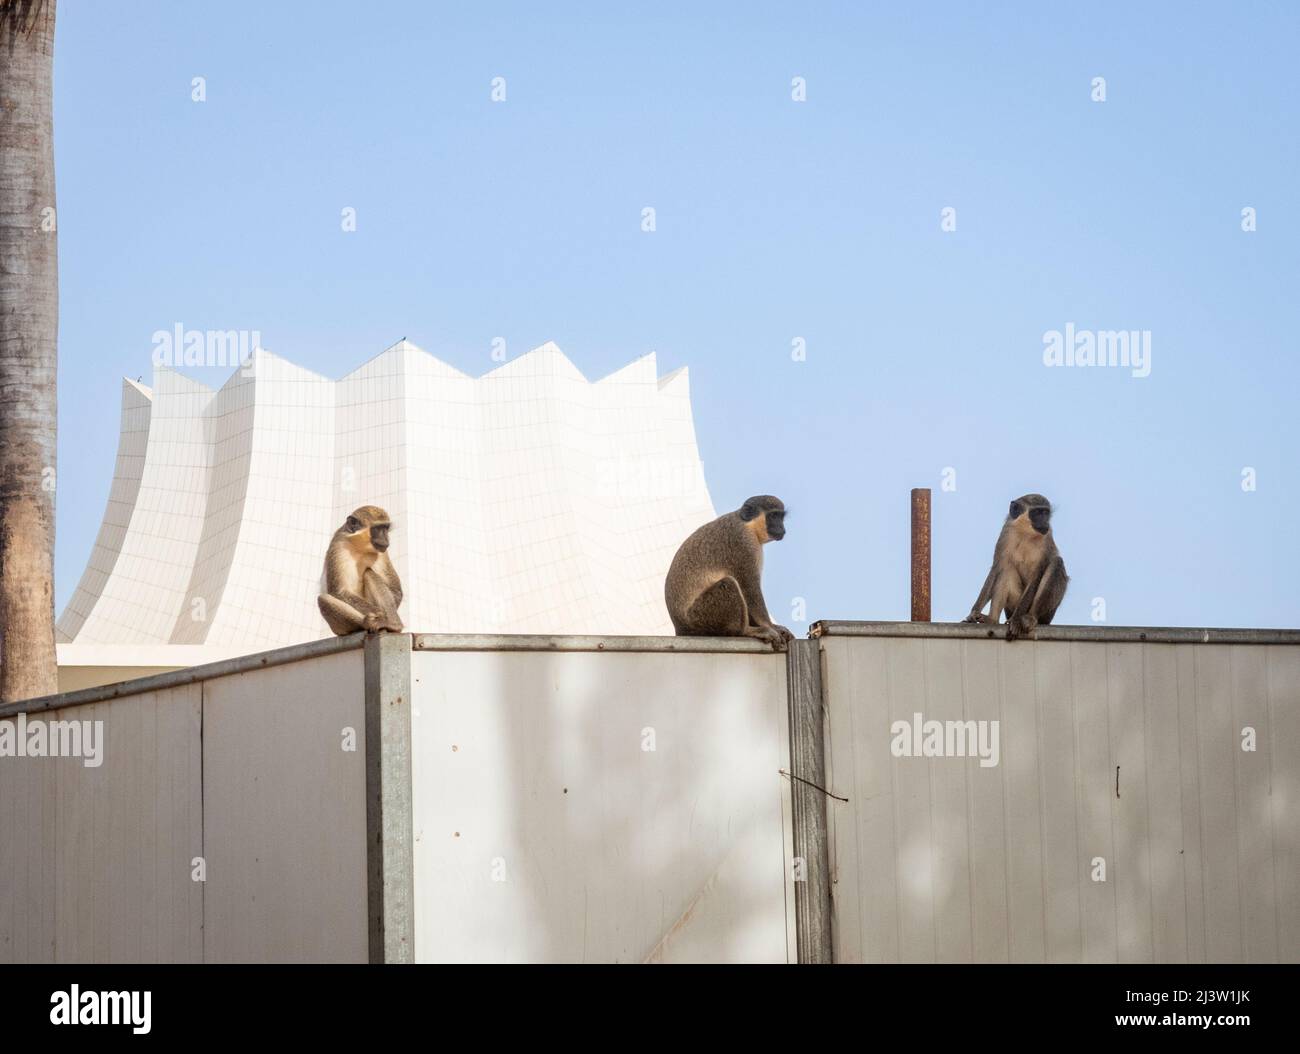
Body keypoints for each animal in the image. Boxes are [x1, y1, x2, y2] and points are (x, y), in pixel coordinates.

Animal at [317, 505, 404, 635]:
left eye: (386, 528)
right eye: (377, 528)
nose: (386, 538)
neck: (360, 547)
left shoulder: (382, 551)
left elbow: (396, 590)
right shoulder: (338, 545)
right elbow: (339, 592)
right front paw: (380, 615)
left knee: (369, 573)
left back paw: (394, 625)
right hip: (338, 628)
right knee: (323, 599)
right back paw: (366, 623)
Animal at [664, 495, 795, 649]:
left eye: (781, 517)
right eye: (773, 516)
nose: (782, 529)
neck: (747, 524)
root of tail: (681, 628)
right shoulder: (743, 543)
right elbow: (749, 588)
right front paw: (770, 626)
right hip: (700, 618)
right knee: (729, 583)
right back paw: (745, 631)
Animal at [962, 493, 1068, 641]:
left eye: (1046, 513)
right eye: (1037, 512)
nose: (1045, 523)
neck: (1026, 533)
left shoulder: (1046, 539)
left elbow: (1036, 577)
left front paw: (1016, 620)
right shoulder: (1005, 535)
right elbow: (997, 568)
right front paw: (974, 612)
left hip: (1048, 613)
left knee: (1057, 563)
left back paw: (1030, 618)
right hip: (1011, 607)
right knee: (1006, 570)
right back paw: (992, 620)